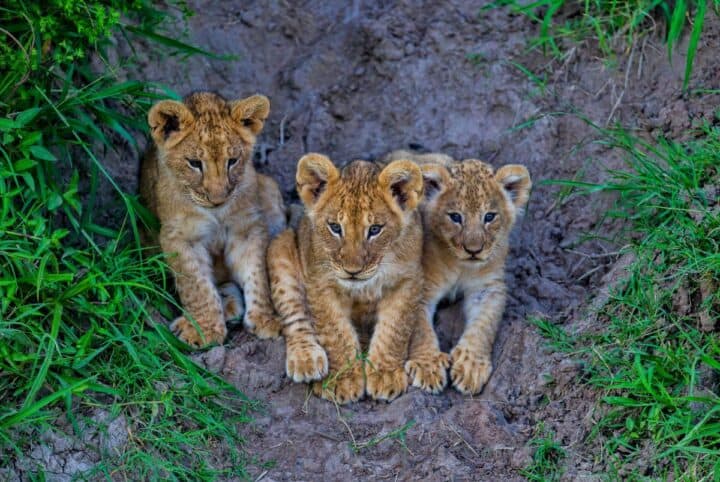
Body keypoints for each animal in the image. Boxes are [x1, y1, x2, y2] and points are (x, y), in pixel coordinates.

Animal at [139, 91, 285, 347]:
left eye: (233, 161)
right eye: (195, 163)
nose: (218, 199)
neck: (216, 213)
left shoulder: (246, 228)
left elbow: (258, 274)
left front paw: (266, 318)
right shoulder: (180, 237)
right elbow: (196, 284)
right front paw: (204, 330)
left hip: (268, 188)